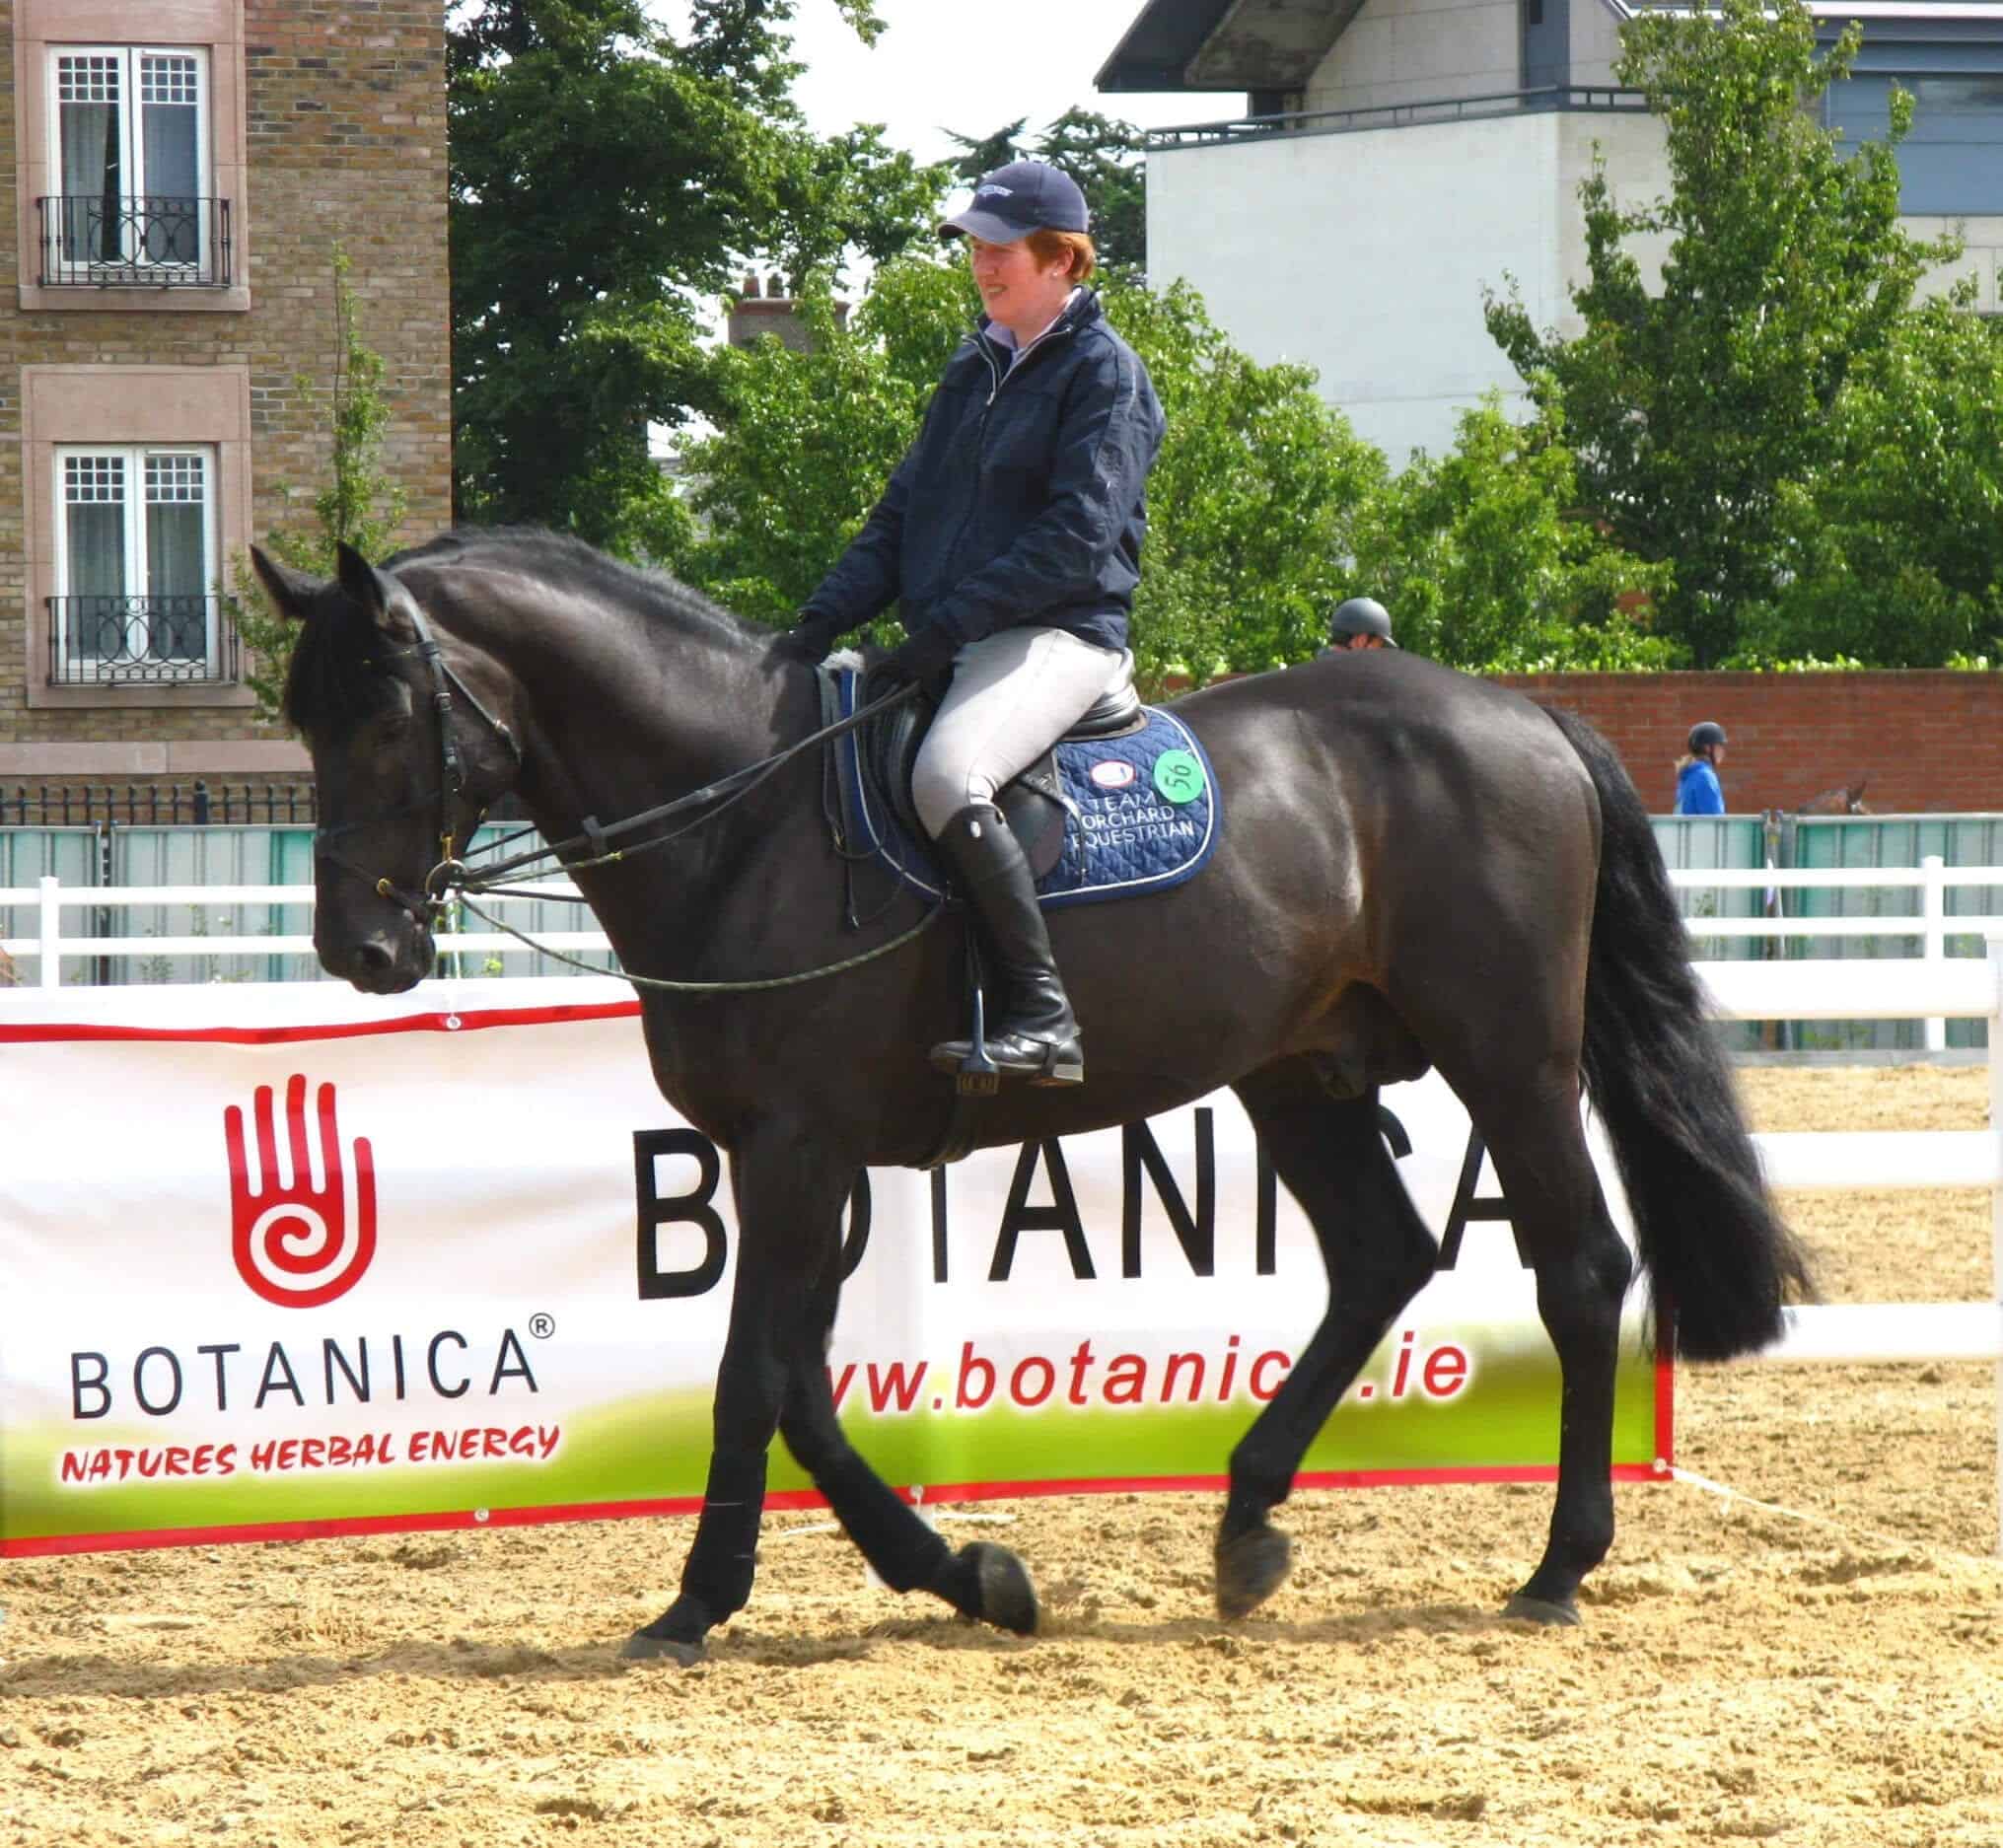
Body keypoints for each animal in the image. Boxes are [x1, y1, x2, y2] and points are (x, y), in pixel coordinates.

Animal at [250, 529, 1811, 1663]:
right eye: (300, 721)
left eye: (384, 715)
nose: (360, 948)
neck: (743, 816)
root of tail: (1519, 711)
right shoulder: (803, 1157)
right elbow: (803, 1382)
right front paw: (969, 1574)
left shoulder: (797, 1147)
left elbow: (756, 1375)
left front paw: (698, 1601)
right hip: (1297, 1072)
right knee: (1381, 1256)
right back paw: (1248, 1523)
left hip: (1508, 1057)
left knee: (1578, 1267)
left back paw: (1556, 1564)